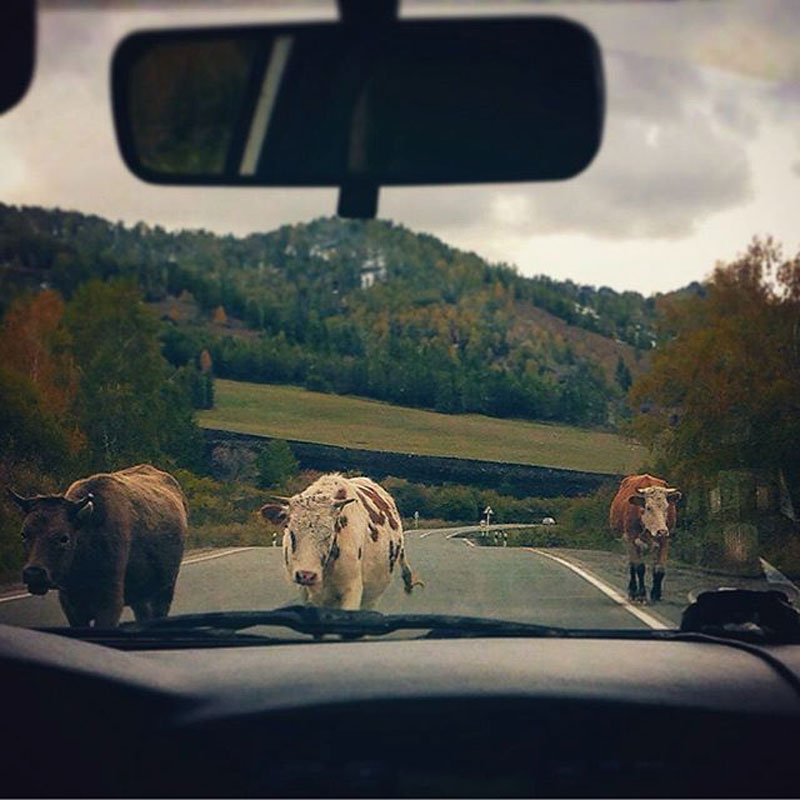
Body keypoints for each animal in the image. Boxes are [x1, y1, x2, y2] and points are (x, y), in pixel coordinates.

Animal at [7, 464, 187, 627]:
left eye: (64, 538)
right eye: (24, 534)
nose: (34, 573)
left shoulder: (110, 603)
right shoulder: (71, 606)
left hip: (167, 586)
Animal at [260, 473, 422, 610]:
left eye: (329, 534)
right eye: (292, 533)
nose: (306, 575)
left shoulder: (352, 588)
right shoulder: (307, 593)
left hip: (373, 594)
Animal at [609, 474, 681, 603]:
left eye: (667, 507)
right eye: (648, 507)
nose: (661, 531)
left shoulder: (665, 541)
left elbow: (659, 568)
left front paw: (656, 594)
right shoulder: (631, 539)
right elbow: (640, 568)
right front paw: (641, 594)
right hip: (627, 542)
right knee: (633, 565)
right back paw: (633, 591)